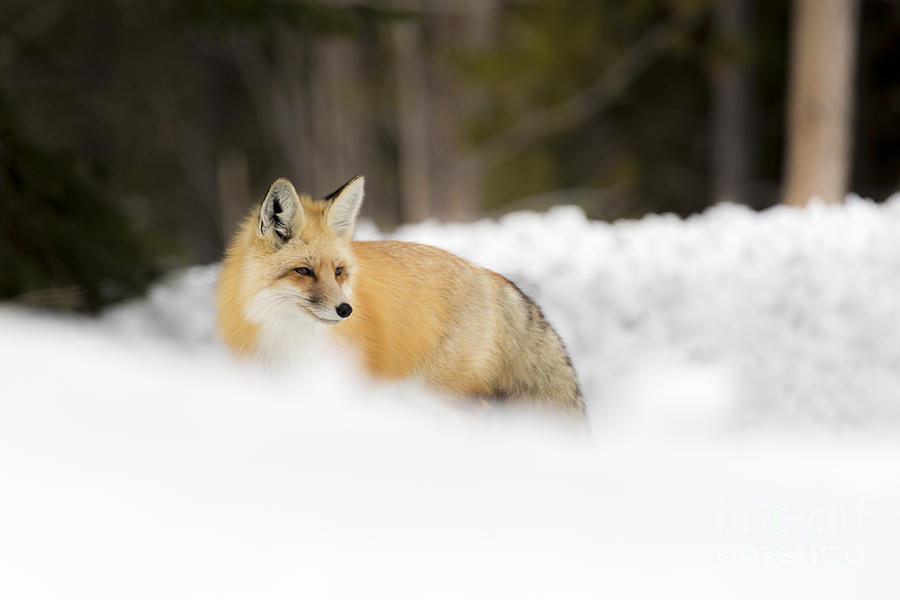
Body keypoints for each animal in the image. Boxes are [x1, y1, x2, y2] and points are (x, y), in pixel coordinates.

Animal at [217, 176, 584, 419]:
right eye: (303, 271)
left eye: (338, 272)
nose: (346, 310)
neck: (287, 337)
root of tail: (483, 271)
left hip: (441, 391)